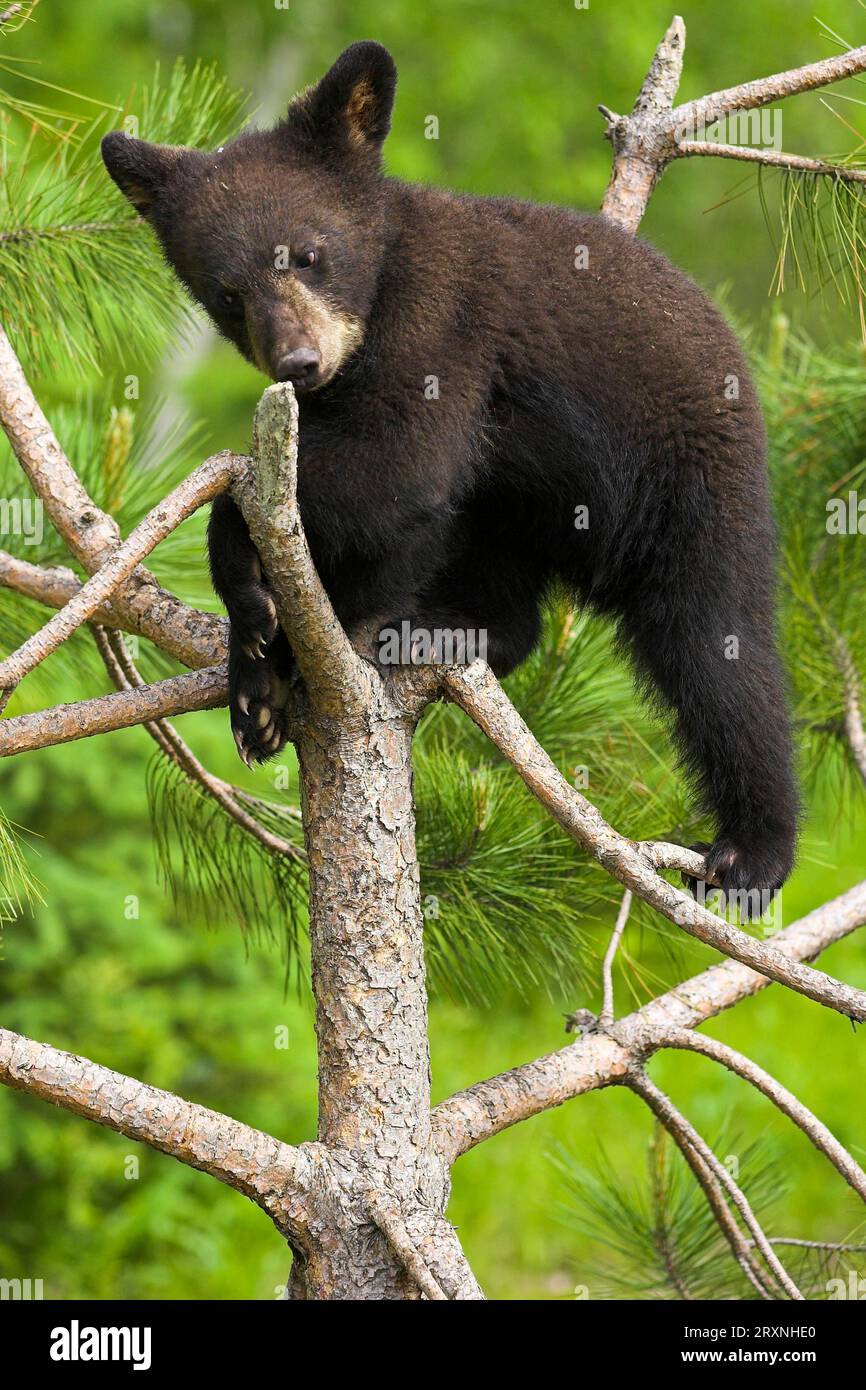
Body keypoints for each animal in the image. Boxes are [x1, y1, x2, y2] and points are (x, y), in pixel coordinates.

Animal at [101, 39, 799, 903]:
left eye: (308, 254)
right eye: (226, 293)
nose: (297, 362)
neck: (381, 287)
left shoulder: (442, 330)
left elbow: (402, 462)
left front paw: (252, 595)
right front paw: (256, 682)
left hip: (692, 484)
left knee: (720, 648)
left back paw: (752, 850)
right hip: (519, 506)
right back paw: (441, 628)